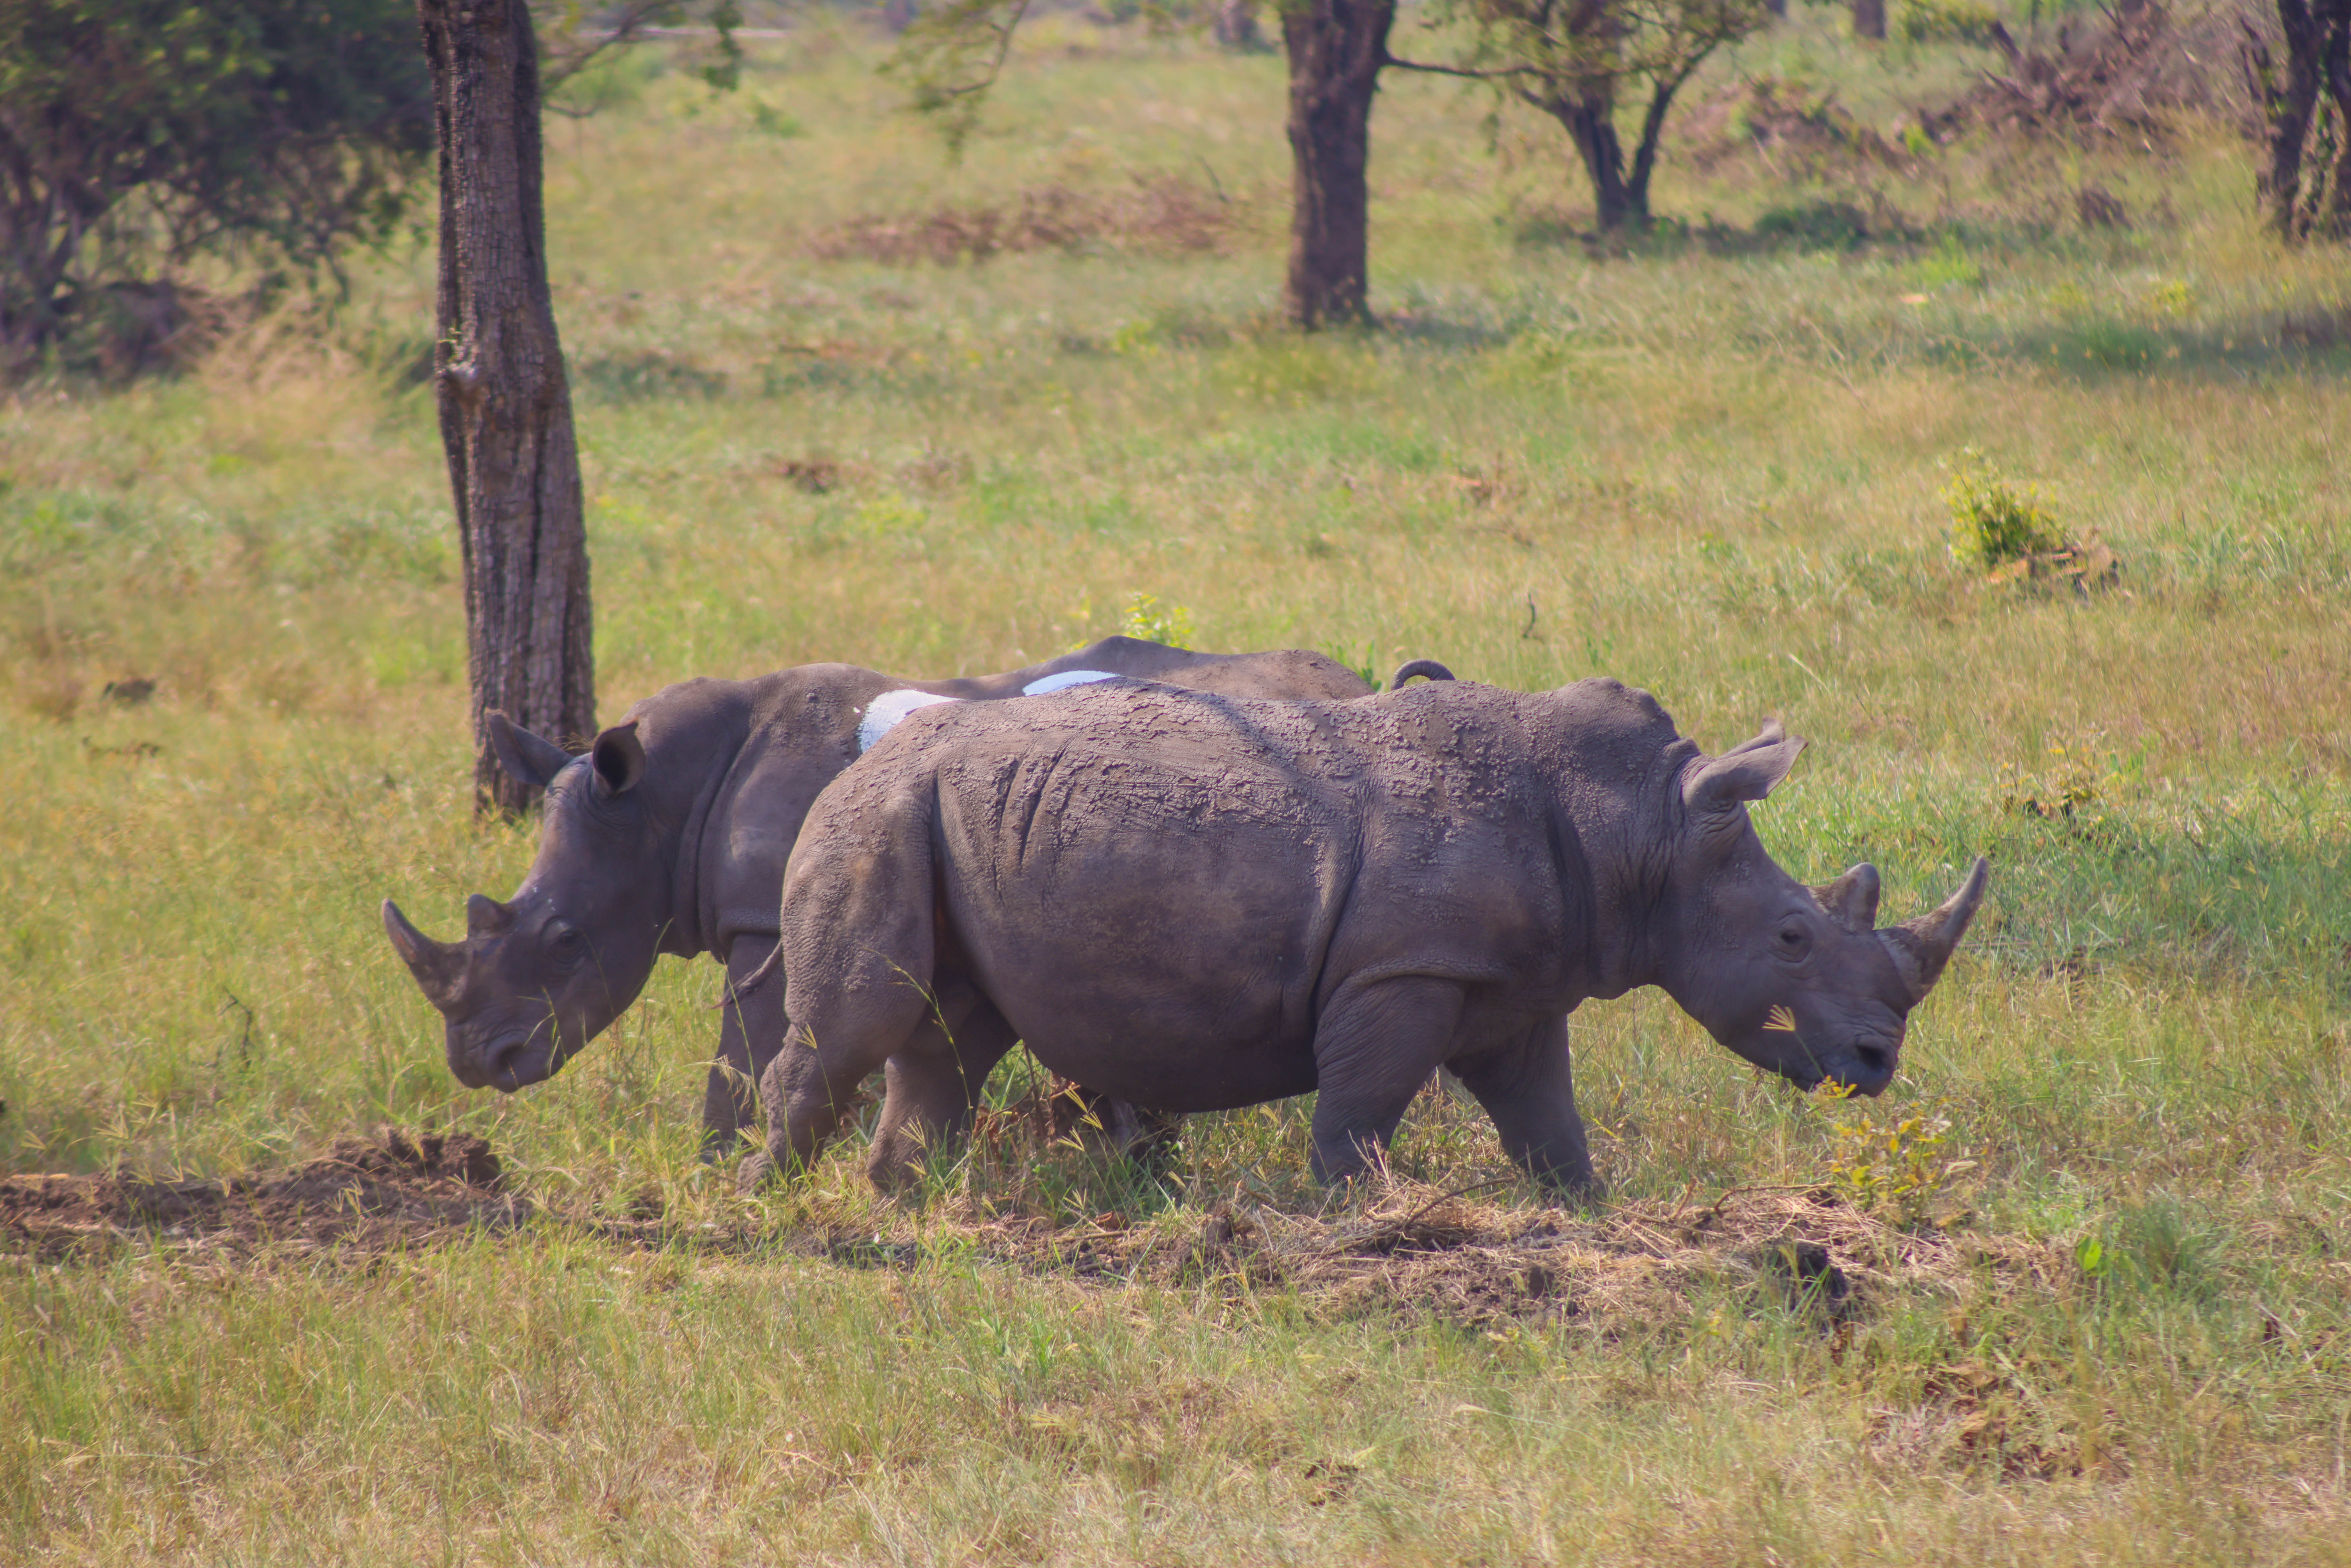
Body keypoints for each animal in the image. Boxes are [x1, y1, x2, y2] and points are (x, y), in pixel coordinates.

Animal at [380, 637, 1451, 1151]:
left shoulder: (767, 922)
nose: (479, 1063)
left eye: (564, 939)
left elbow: (745, 1060)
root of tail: (1361, 684)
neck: (662, 803)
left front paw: (719, 1171)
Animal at [747, 676, 1989, 1192]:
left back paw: (917, 1213)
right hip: (878, 816)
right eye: (1791, 938)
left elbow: (1548, 1127)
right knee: (860, 1031)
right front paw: (1356, 1224)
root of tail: (861, 753)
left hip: (941, 818)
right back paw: (769, 1212)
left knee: (948, 1040)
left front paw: (1579, 1216)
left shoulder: (1513, 985)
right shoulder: (1403, 970)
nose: (1877, 1062)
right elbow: (1358, 1113)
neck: (1642, 827)